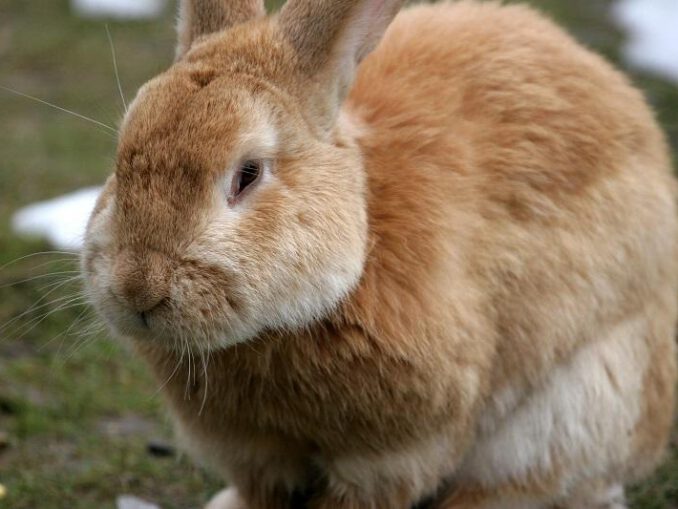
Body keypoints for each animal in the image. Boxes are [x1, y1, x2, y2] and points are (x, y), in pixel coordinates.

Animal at [80, 0, 678, 508]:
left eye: (247, 174)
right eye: (122, 155)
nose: (138, 288)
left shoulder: (393, 455)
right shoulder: (251, 452)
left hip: (573, 411)